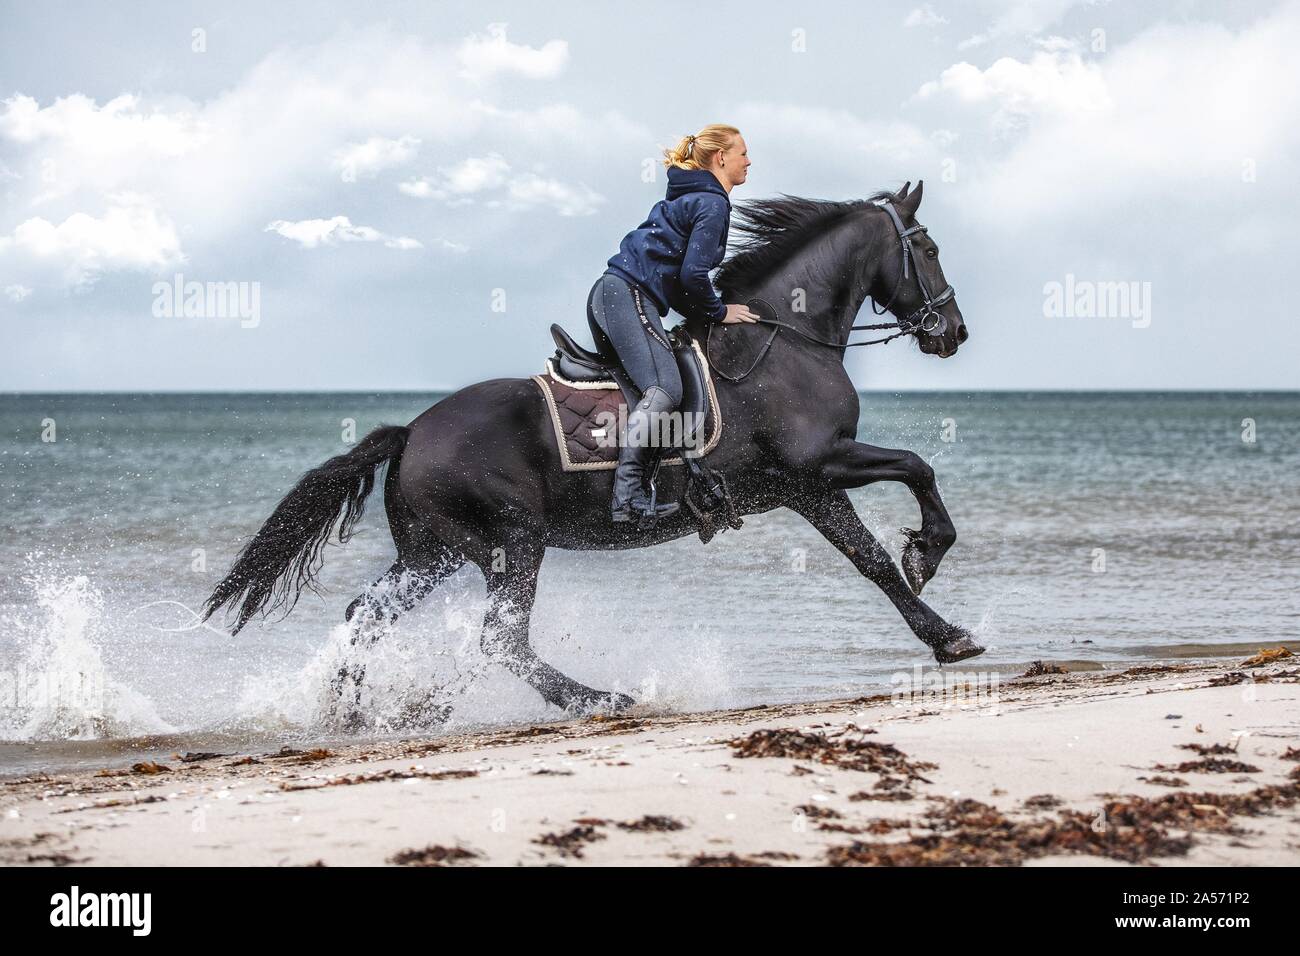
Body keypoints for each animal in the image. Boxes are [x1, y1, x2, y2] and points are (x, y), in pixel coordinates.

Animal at [202, 179, 983, 717]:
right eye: (930, 249)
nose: (954, 333)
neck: (783, 337)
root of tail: (413, 432)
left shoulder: (807, 488)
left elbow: (871, 560)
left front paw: (945, 633)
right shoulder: (821, 462)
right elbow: (918, 469)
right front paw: (930, 554)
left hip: (435, 553)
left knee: (368, 615)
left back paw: (357, 710)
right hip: (512, 540)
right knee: (500, 640)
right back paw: (600, 699)